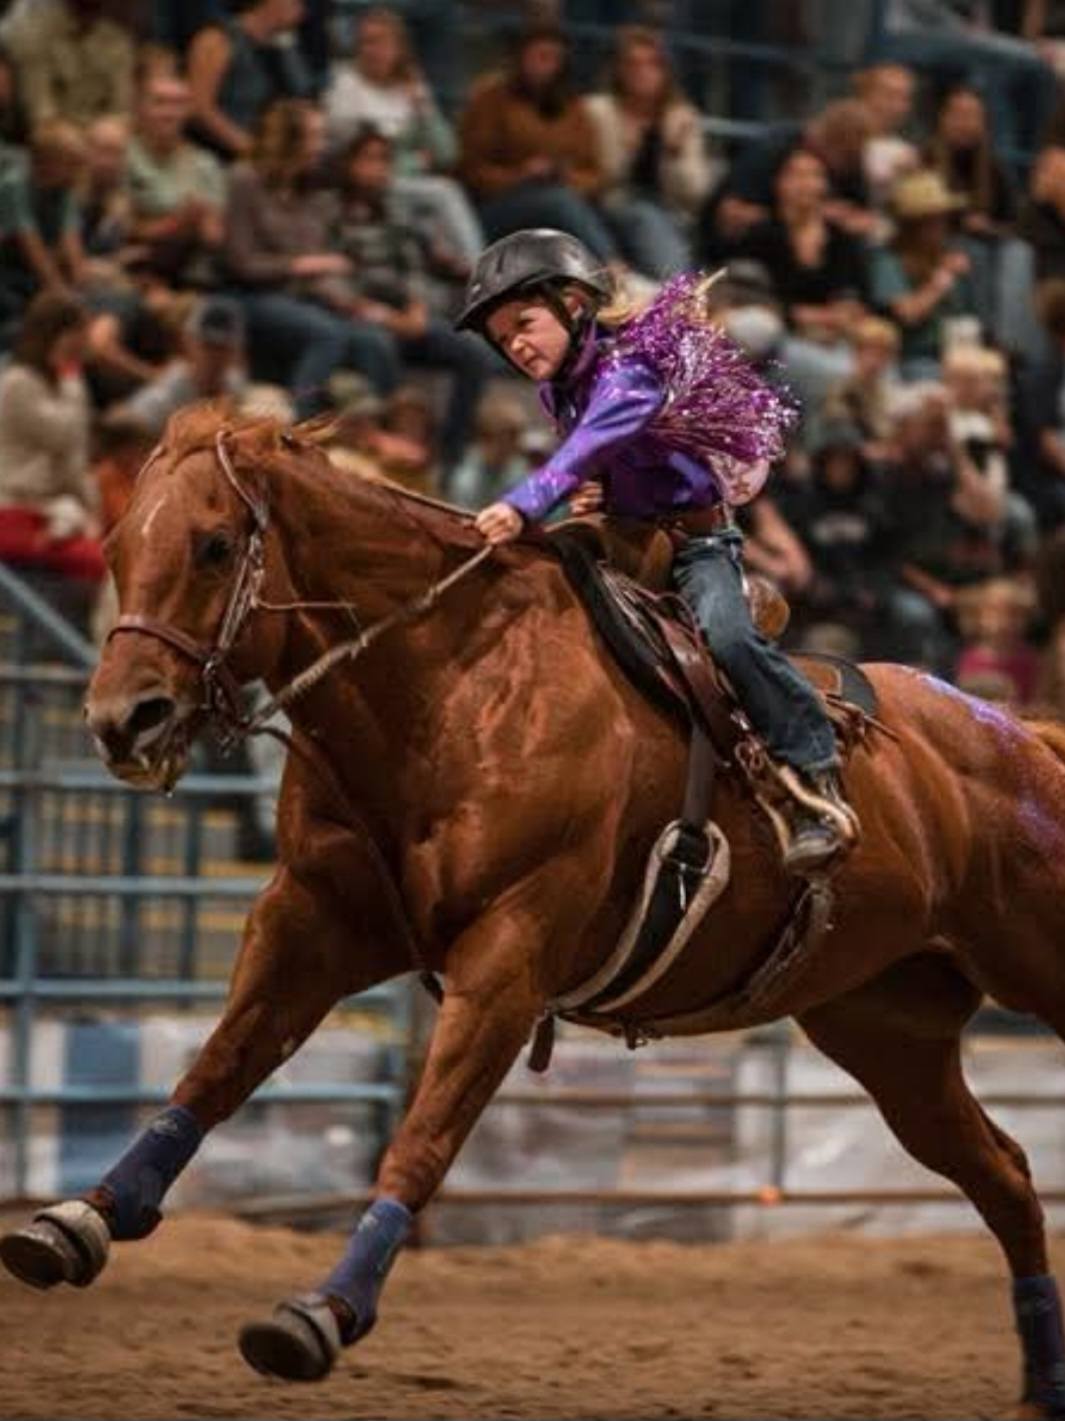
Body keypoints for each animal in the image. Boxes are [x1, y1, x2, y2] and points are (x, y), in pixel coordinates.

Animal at [4, 404, 1065, 1418]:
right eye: (112, 547)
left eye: (216, 544)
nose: (120, 720)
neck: (452, 685)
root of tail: (1017, 736)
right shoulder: (308, 922)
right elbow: (214, 1070)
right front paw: (79, 1219)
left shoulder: (506, 964)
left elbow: (422, 1137)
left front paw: (321, 1311)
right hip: (886, 1033)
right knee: (1006, 1173)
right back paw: (1036, 1382)